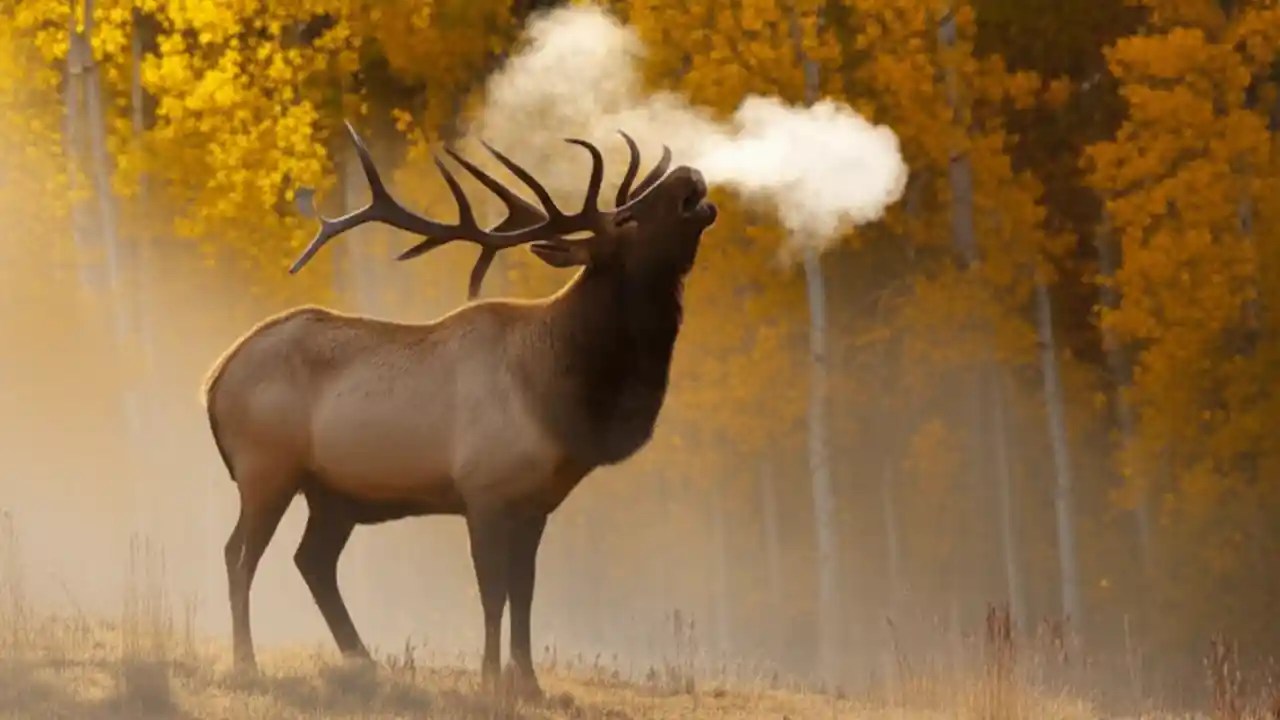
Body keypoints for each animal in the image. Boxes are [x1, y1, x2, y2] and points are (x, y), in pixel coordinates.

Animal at [201, 122, 717, 698]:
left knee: (311, 560)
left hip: (333, 494)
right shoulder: (483, 490)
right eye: (627, 217)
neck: (559, 400)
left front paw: (530, 684)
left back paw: (363, 660)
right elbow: (493, 592)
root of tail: (214, 381)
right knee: (239, 556)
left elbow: (525, 593)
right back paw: (248, 663)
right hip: (266, 469)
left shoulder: (538, 502)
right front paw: (491, 679)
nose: (688, 174)